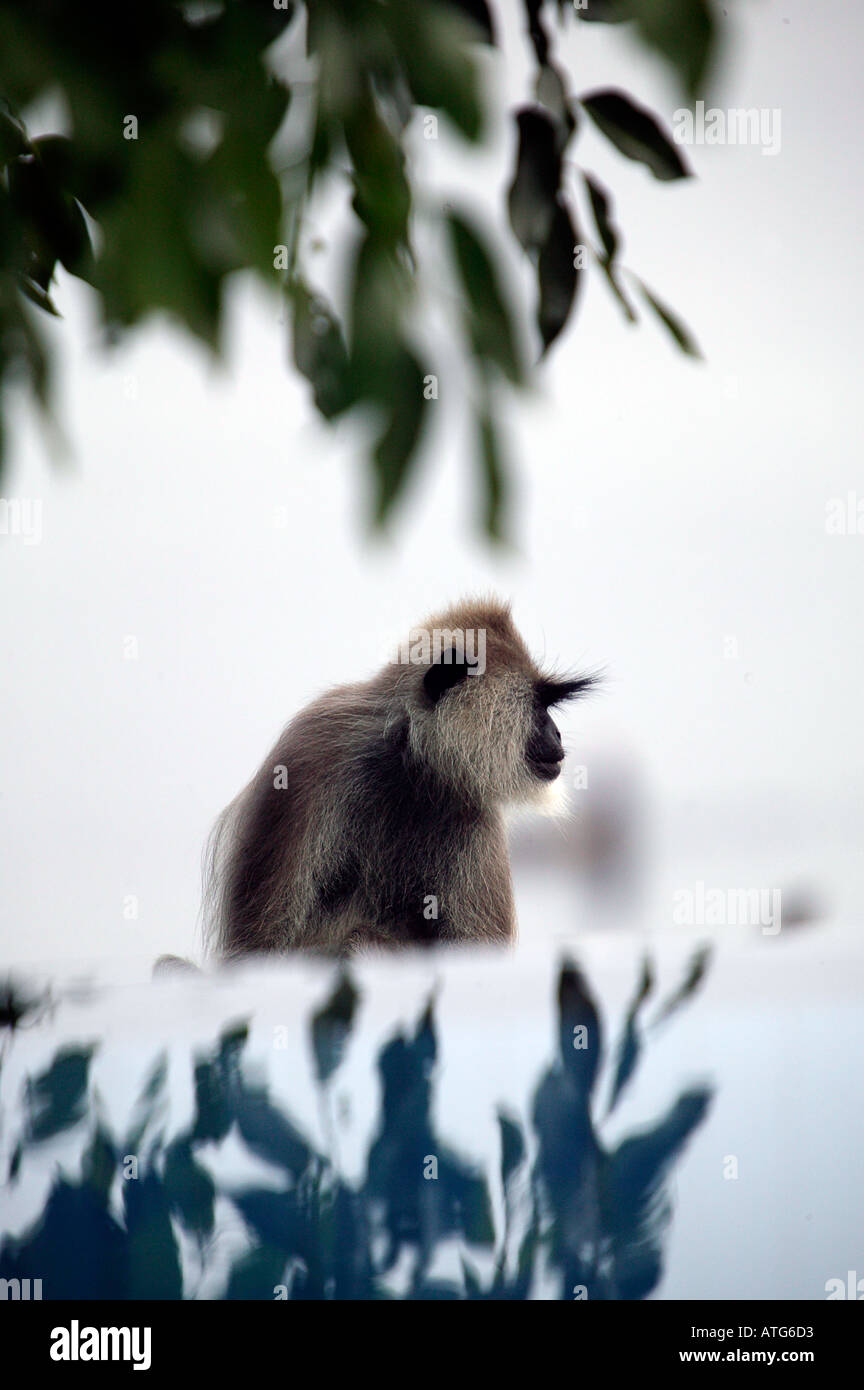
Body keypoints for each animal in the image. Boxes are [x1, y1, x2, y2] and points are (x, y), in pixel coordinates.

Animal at [203, 597, 597, 959]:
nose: (557, 734)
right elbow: (264, 944)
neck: (409, 758)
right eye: (538, 705)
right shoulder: (314, 750)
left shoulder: (474, 813)